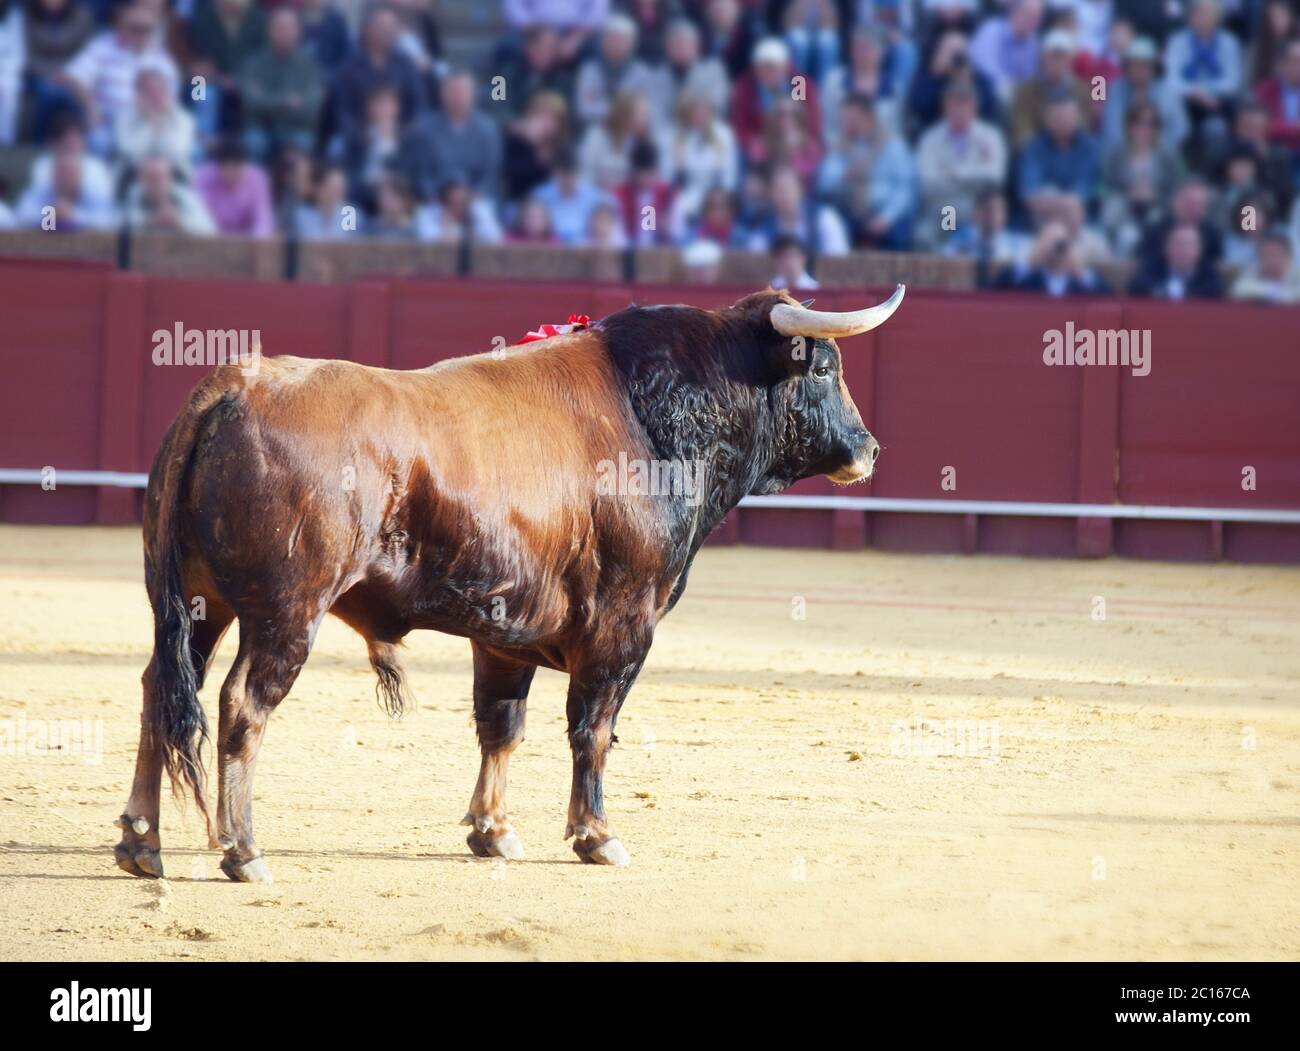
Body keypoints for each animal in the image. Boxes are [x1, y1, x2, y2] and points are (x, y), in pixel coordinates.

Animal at [113, 285, 905, 880]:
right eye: (824, 368)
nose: (869, 449)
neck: (654, 417)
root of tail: (231, 387)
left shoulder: (505, 629)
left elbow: (502, 724)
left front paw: (492, 831)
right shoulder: (626, 622)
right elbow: (593, 727)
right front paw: (597, 835)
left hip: (200, 605)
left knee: (161, 688)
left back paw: (141, 841)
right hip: (287, 610)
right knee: (242, 702)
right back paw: (242, 849)